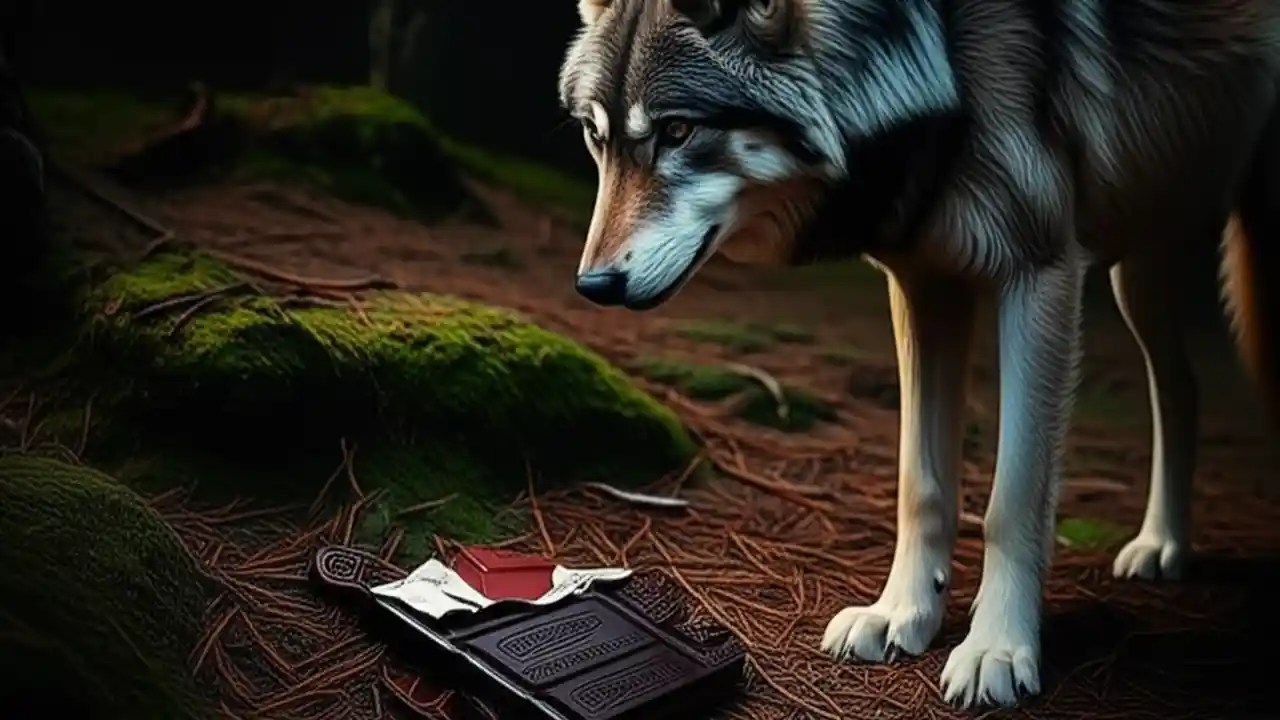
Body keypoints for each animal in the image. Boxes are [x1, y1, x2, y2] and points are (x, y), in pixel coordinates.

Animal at [558, 0, 1280, 709]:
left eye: (678, 131)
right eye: (597, 136)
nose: (593, 285)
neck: (942, 57)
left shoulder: (1042, 275)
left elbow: (1013, 498)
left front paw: (998, 649)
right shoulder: (924, 281)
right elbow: (920, 485)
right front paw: (902, 615)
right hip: (1139, 270)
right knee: (1181, 387)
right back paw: (1163, 543)